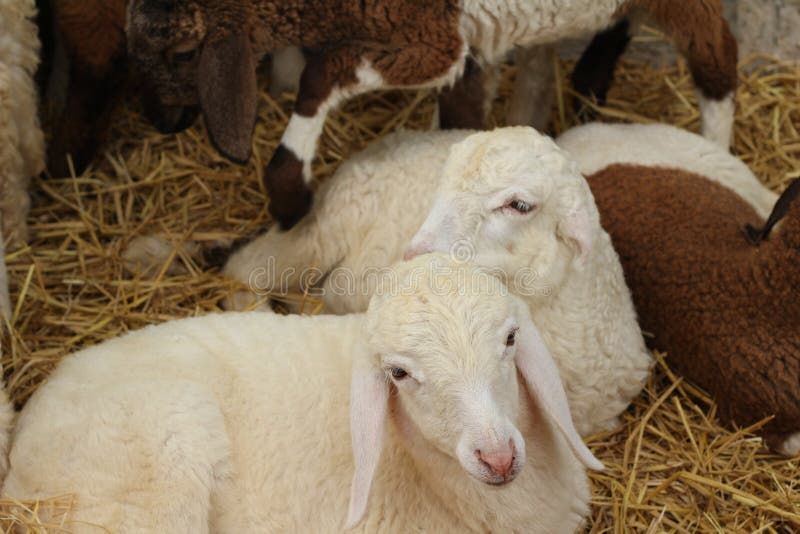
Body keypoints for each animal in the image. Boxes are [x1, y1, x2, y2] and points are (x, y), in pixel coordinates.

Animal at [125, 0, 737, 229]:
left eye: (183, 54)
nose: (161, 122)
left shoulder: (428, 38)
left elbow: (321, 74)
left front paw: (289, 192)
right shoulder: (457, 47)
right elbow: (463, 110)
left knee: (718, 57)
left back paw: (719, 156)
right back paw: (589, 79)